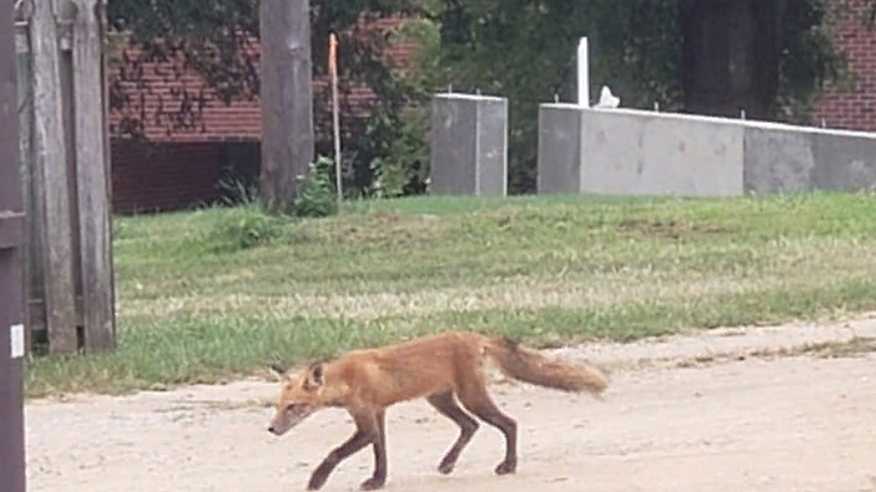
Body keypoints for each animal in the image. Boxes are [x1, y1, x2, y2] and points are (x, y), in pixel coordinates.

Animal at [267, 331, 608, 491]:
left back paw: (508, 465)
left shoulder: (366, 422)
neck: (347, 379)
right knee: (470, 426)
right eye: (278, 406)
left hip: (471, 398)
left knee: (509, 423)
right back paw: (448, 463)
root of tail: (476, 336)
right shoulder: (376, 415)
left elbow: (334, 453)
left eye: (294, 407)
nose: (271, 429)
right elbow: (381, 454)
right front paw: (378, 481)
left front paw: (316, 481)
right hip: (442, 401)